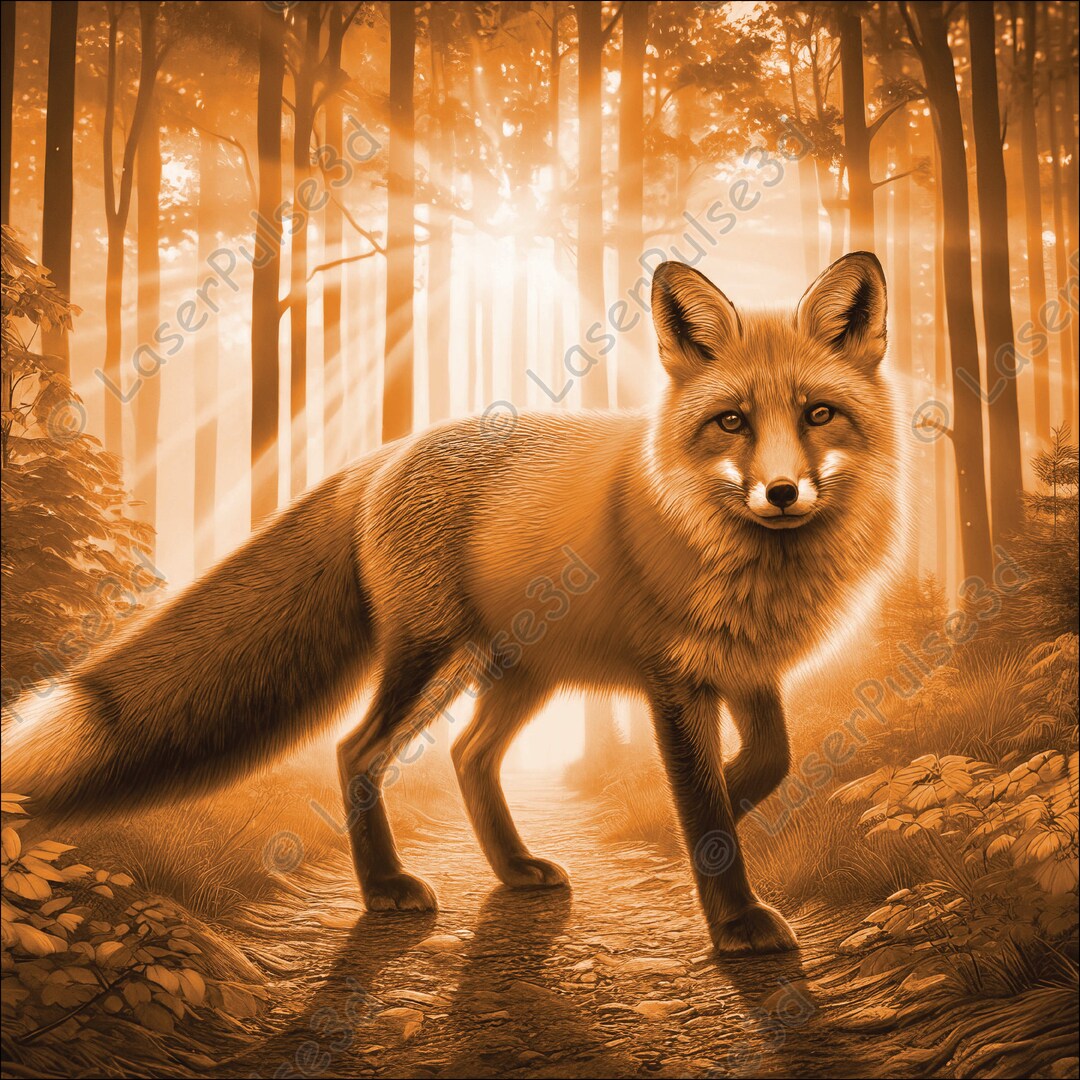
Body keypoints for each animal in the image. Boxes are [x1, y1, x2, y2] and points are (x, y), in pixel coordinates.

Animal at [2, 253, 902, 956]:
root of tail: (386, 453)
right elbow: (707, 805)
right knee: (357, 750)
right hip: (435, 659)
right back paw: (385, 887)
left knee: (469, 756)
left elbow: (767, 763)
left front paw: (705, 804)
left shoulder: (744, 669)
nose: (781, 492)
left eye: (819, 413)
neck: (753, 563)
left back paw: (511, 868)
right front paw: (736, 920)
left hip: (519, 672)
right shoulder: (674, 679)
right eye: (732, 422)